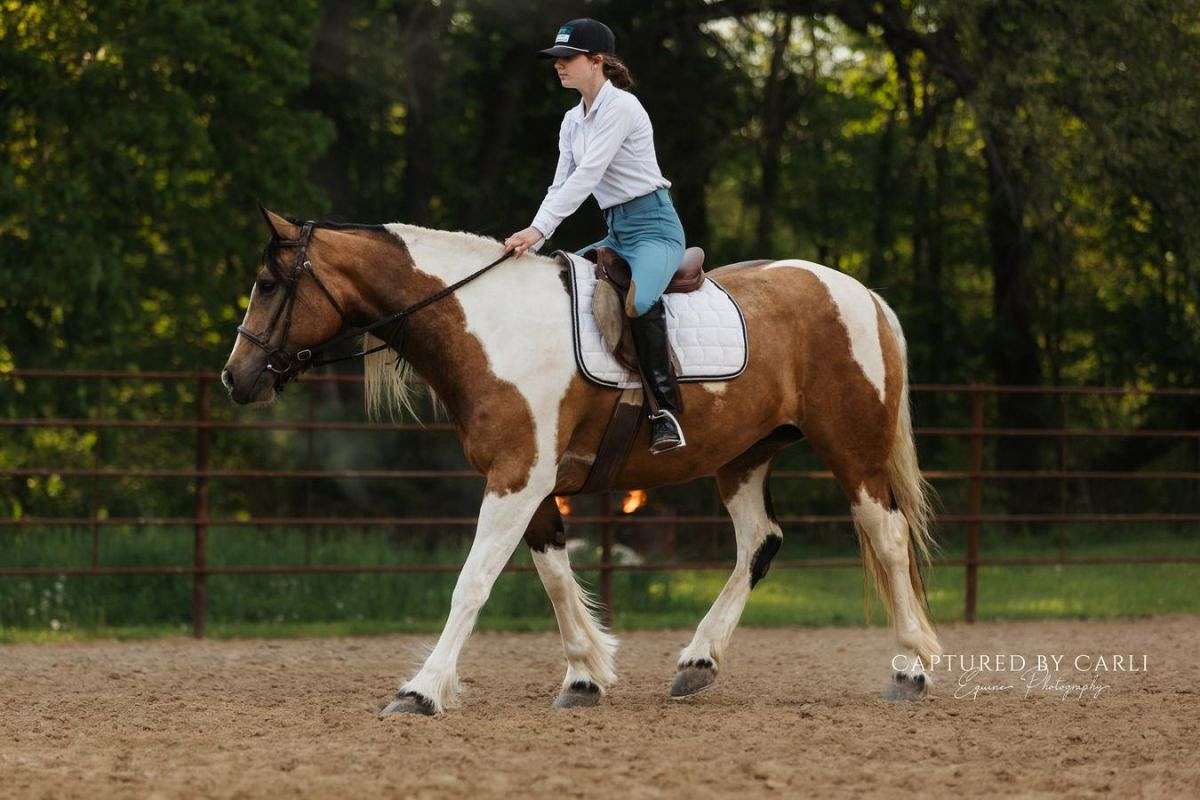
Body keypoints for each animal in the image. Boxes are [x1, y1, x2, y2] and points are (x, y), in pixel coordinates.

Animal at [221, 208, 942, 715]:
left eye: (267, 284)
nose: (236, 378)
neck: (488, 326)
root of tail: (859, 293)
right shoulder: (535, 486)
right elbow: (555, 578)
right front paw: (585, 673)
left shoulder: (514, 481)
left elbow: (473, 584)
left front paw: (421, 689)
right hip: (743, 457)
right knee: (759, 543)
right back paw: (698, 661)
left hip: (852, 451)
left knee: (886, 537)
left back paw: (910, 668)